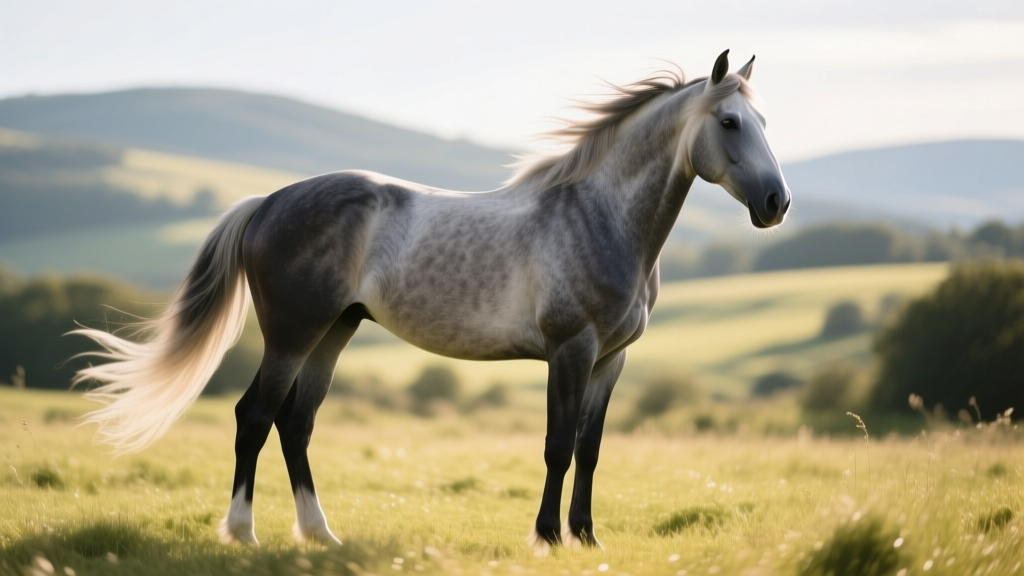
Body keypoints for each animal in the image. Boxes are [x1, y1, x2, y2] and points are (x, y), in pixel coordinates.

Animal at [71, 49, 790, 554]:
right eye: (729, 122)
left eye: (764, 121)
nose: (776, 203)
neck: (599, 217)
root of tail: (268, 201)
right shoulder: (571, 350)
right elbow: (558, 445)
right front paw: (547, 537)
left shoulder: (611, 359)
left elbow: (590, 448)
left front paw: (587, 537)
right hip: (293, 334)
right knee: (255, 415)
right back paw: (242, 533)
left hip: (335, 332)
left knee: (296, 424)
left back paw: (319, 535)